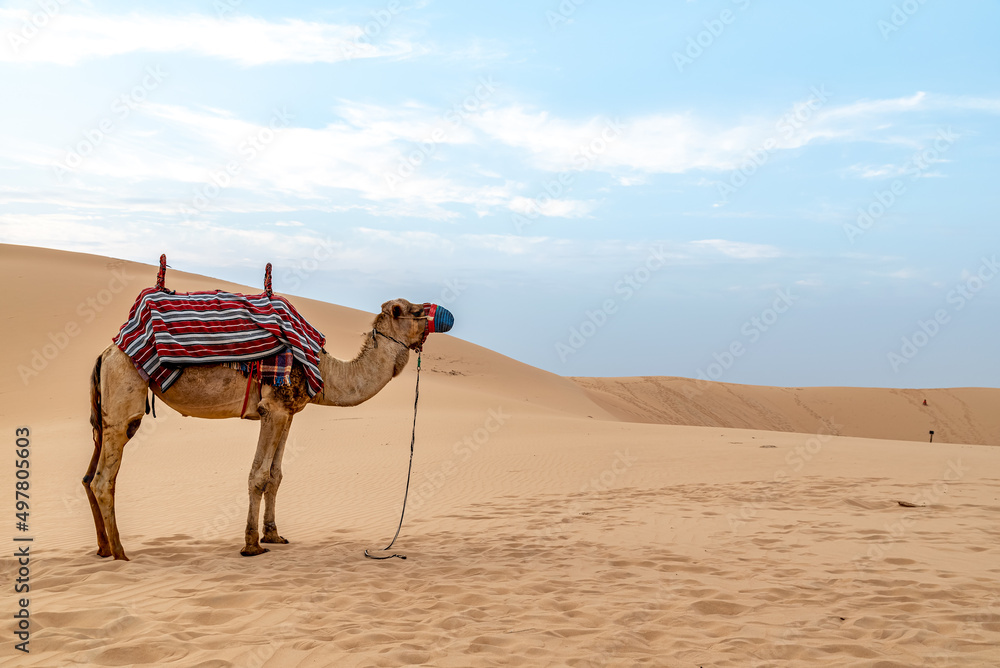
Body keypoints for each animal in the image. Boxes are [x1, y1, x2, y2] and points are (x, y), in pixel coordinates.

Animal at [84, 297, 450, 560]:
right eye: (416, 311)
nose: (445, 315)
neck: (325, 371)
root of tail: (105, 353)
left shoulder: (287, 412)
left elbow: (276, 475)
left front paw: (273, 534)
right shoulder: (272, 409)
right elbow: (258, 475)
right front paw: (251, 545)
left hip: (103, 416)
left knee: (89, 477)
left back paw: (103, 549)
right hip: (125, 402)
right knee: (104, 479)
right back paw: (121, 553)